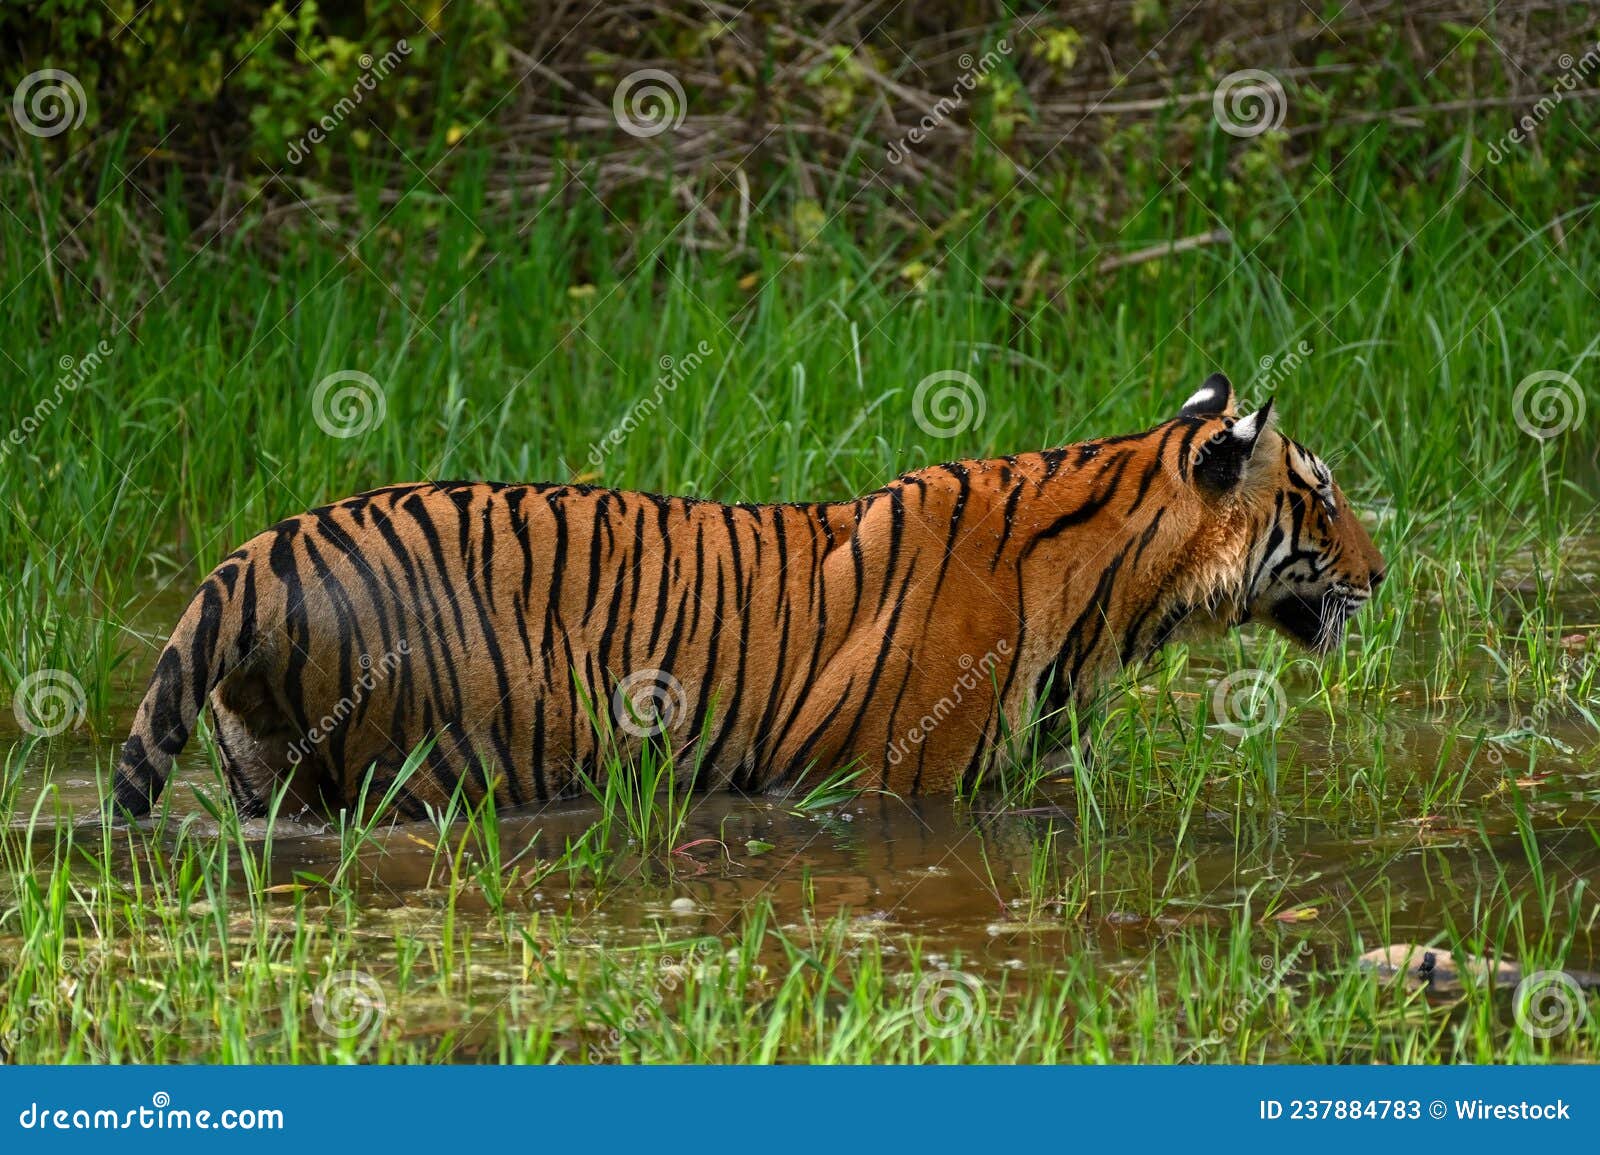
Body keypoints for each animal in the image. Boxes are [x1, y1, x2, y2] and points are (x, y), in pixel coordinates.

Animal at [111, 373, 1385, 818]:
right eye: (1321, 498)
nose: (1382, 576)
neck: (1125, 600)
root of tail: (256, 553)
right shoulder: (898, 782)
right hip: (414, 763)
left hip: (269, 776)